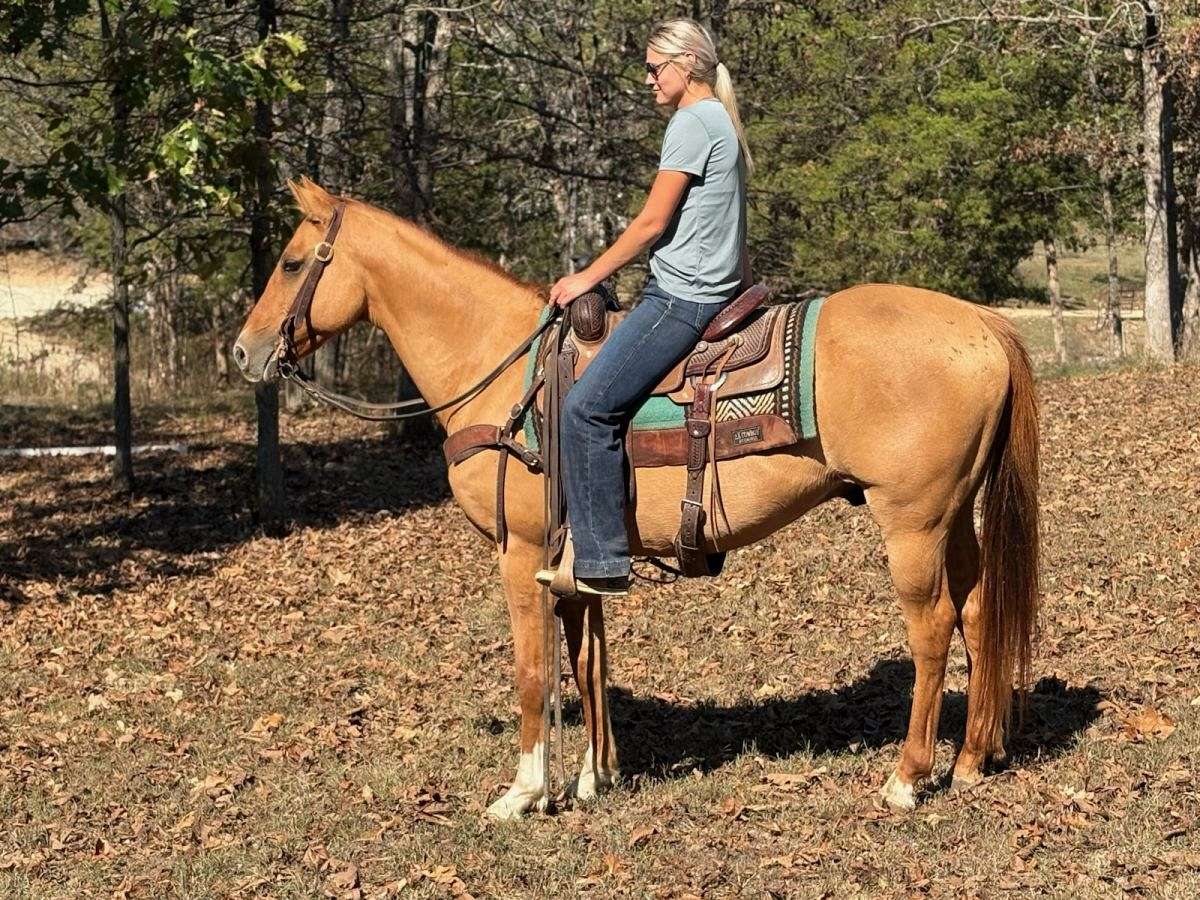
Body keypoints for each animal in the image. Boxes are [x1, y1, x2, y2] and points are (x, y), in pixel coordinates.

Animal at [233, 177, 1040, 819]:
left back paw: (906, 778)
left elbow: (534, 671)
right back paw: (970, 761)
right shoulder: (578, 557)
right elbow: (588, 660)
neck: (503, 370)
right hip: (953, 517)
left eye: (293, 262)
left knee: (934, 628)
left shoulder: (520, 554)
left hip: (912, 521)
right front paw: (595, 776)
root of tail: (981, 324)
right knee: (977, 611)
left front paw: (524, 792)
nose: (244, 351)